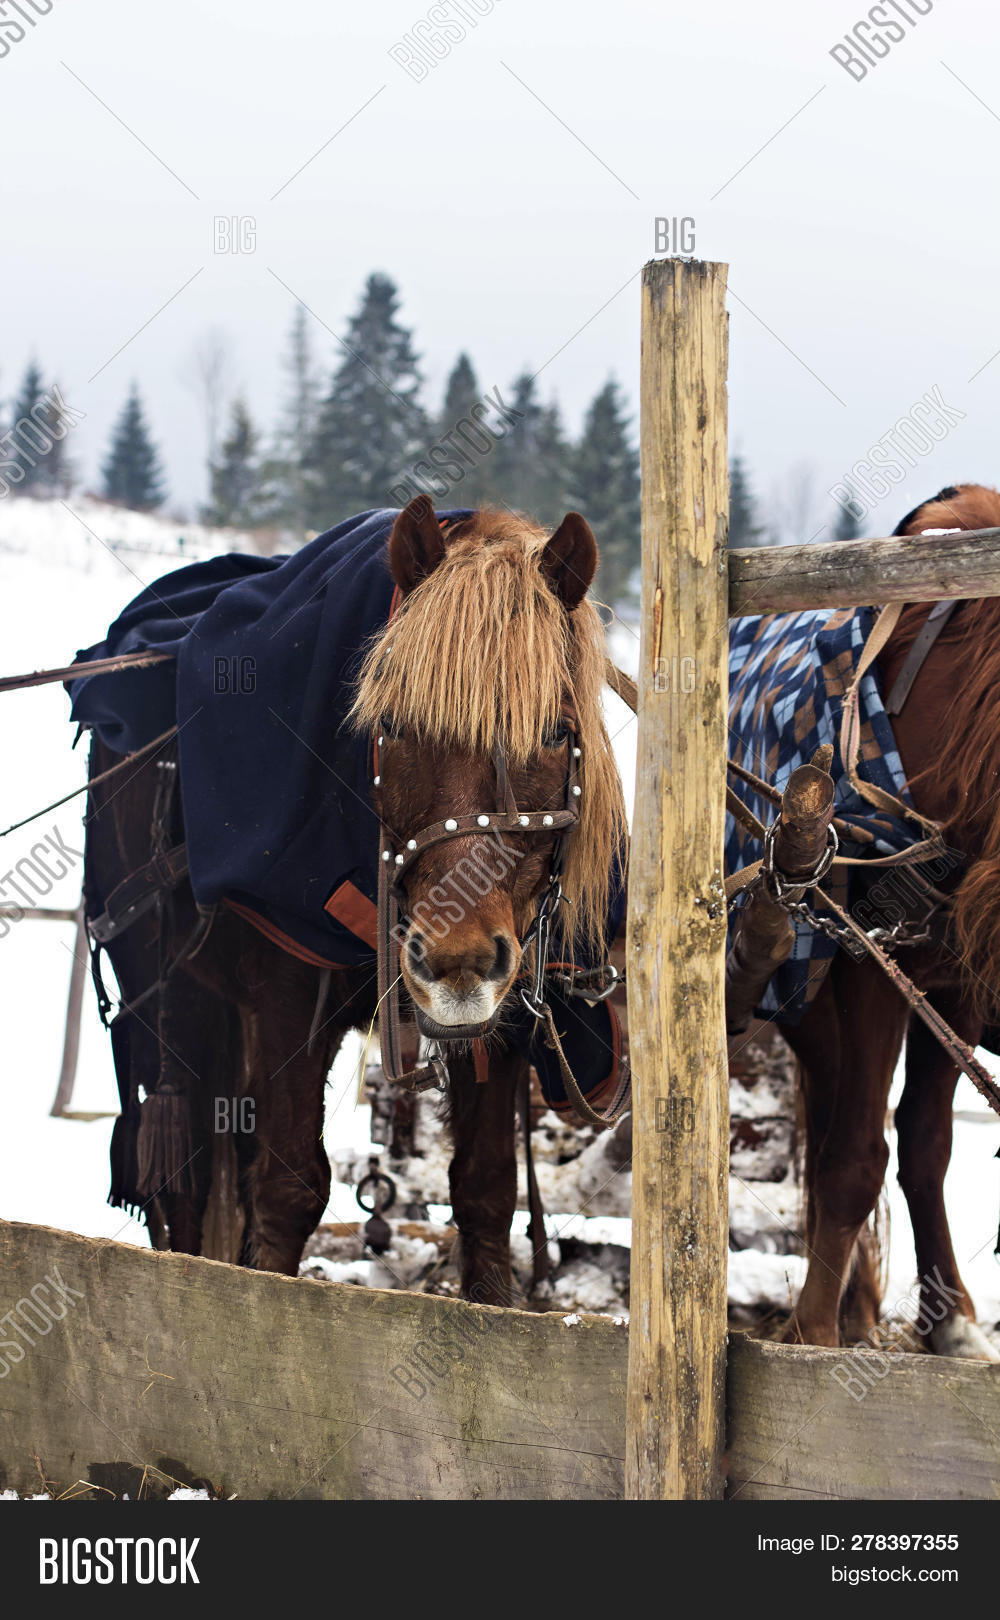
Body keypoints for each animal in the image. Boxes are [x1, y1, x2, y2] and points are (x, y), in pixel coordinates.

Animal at [82, 497, 626, 1303]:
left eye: (558, 734)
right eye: (391, 727)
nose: (458, 960)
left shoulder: (501, 1020)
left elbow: (485, 1189)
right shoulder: (285, 997)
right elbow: (286, 1190)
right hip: (173, 998)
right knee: (183, 1170)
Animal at [777, 483, 1000, 1358]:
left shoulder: (956, 982)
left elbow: (926, 1144)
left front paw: (951, 1320)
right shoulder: (868, 957)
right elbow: (856, 1157)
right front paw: (811, 1332)